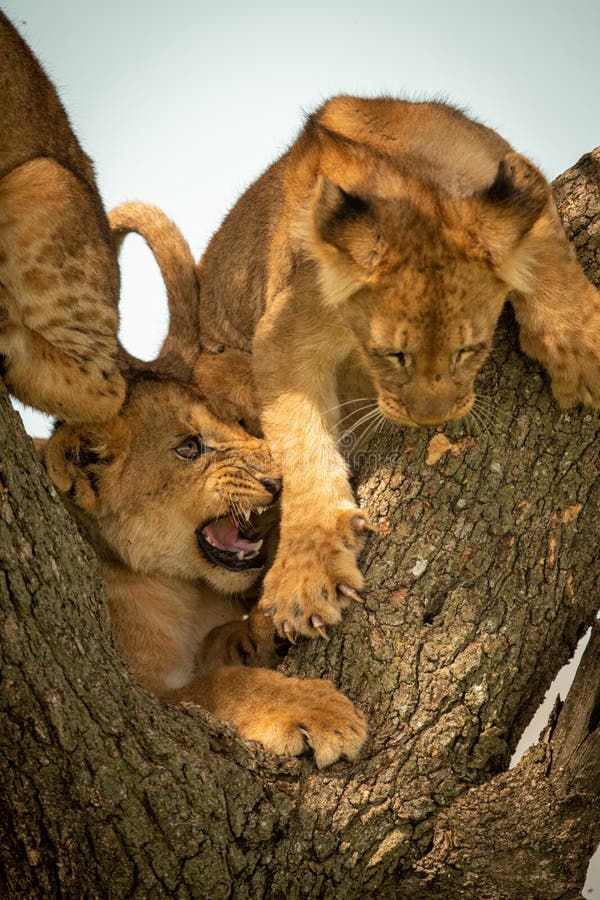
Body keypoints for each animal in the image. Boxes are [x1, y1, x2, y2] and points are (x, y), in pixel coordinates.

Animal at [40, 202, 367, 768]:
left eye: (241, 423)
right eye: (189, 447)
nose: (278, 478)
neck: (181, 593)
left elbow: (221, 646)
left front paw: (256, 634)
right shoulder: (147, 694)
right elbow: (221, 684)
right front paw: (319, 711)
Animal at [194, 95, 600, 641]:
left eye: (468, 350)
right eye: (392, 355)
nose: (431, 419)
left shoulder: (507, 166)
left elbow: (545, 247)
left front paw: (583, 348)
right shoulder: (284, 332)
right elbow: (302, 446)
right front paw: (306, 577)